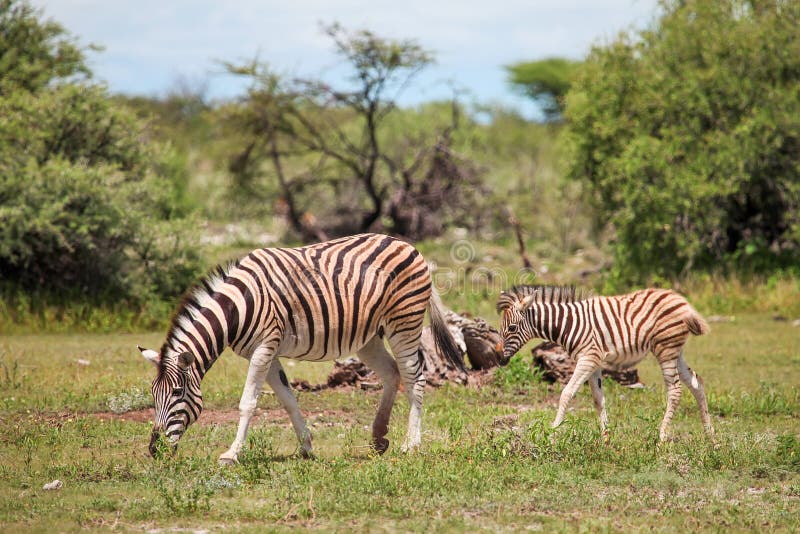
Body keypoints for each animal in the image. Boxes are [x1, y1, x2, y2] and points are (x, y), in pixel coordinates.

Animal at [137, 233, 463, 464]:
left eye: (177, 393)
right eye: (153, 395)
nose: (155, 450)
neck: (237, 309)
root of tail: (408, 245)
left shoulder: (264, 347)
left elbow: (248, 403)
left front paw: (231, 454)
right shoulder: (266, 352)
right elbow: (288, 400)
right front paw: (306, 447)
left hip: (404, 323)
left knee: (414, 378)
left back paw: (411, 444)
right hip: (368, 337)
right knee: (392, 373)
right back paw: (379, 437)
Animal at [497, 285, 714, 442]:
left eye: (512, 328)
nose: (499, 360)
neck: (568, 324)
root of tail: (682, 302)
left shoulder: (587, 358)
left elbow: (566, 393)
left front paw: (552, 433)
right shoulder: (595, 362)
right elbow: (598, 399)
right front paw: (605, 438)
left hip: (665, 348)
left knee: (675, 390)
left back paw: (661, 438)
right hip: (675, 351)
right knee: (696, 382)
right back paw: (710, 437)